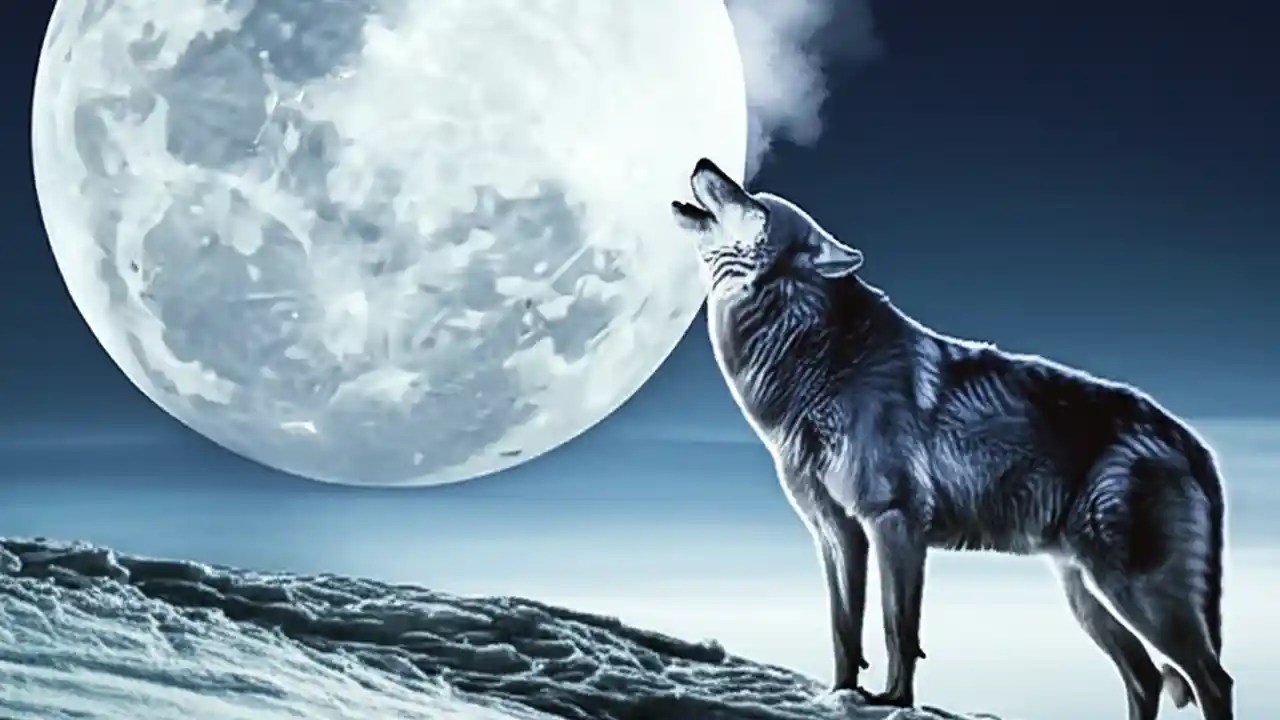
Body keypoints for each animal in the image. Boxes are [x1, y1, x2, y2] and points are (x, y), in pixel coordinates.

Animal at [669, 158, 1233, 720]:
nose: (703, 163)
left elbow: (898, 630)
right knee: (1146, 677)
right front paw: (840, 696)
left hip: (1137, 593)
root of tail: (1192, 441)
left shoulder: (895, 524)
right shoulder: (836, 533)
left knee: (1212, 679)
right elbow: (843, 632)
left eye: (753, 203)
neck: (811, 358)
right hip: (1088, 595)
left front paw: (896, 701)